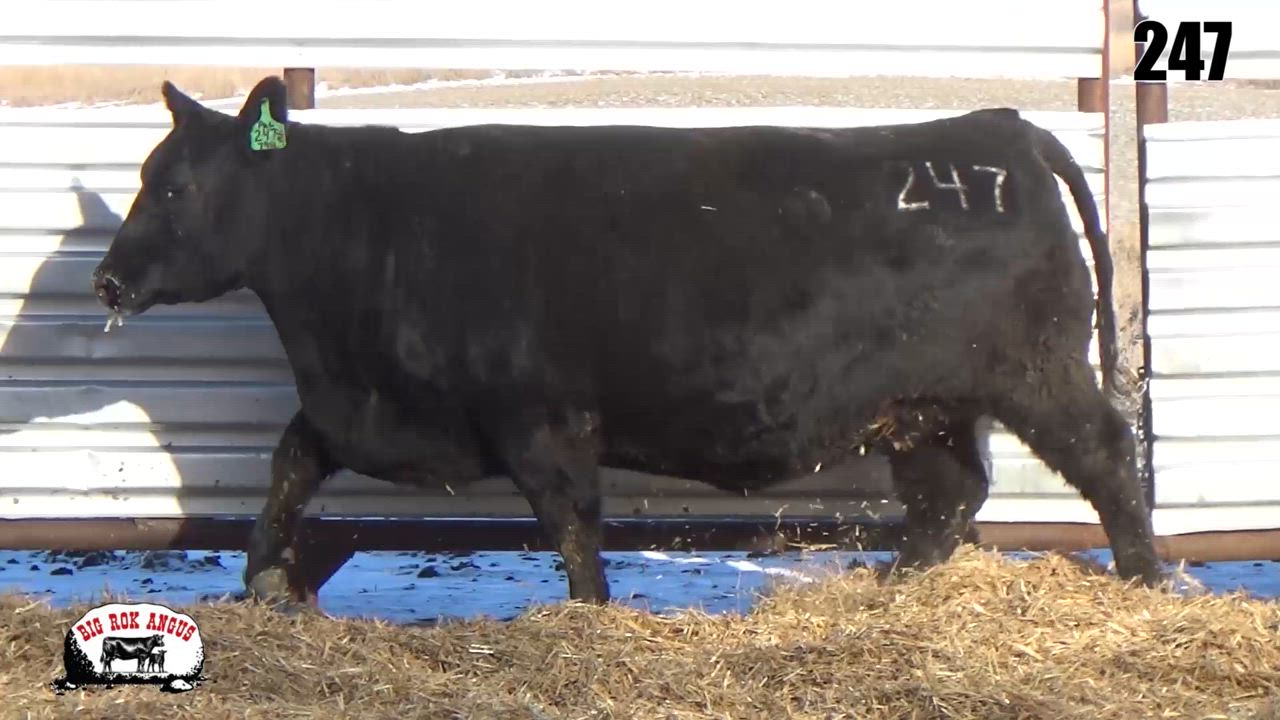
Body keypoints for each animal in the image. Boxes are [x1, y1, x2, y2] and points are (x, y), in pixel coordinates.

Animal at [91, 76, 1165, 608]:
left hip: (1037, 371)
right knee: (950, 495)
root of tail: (1001, 130)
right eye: (144, 175)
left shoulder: (542, 417)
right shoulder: (373, 411)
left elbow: (570, 523)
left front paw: (591, 612)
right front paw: (264, 576)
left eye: (176, 186)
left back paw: (1150, 579)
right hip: (925, 406)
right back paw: (887, 586)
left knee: (1110, 456)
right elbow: (290, 461)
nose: (106, 280)